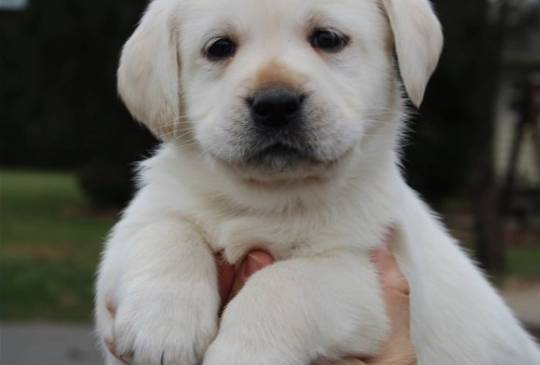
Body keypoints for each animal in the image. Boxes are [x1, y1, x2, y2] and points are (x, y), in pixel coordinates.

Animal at [96, 0, 540, 362]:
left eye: (327, 38)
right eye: (219, 47)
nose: (275, 104)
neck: (270, 201)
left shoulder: (365, 277)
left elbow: (287, 282)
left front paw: (243, 353)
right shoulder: (120, 255)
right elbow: (167, 231)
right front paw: (163, 324)